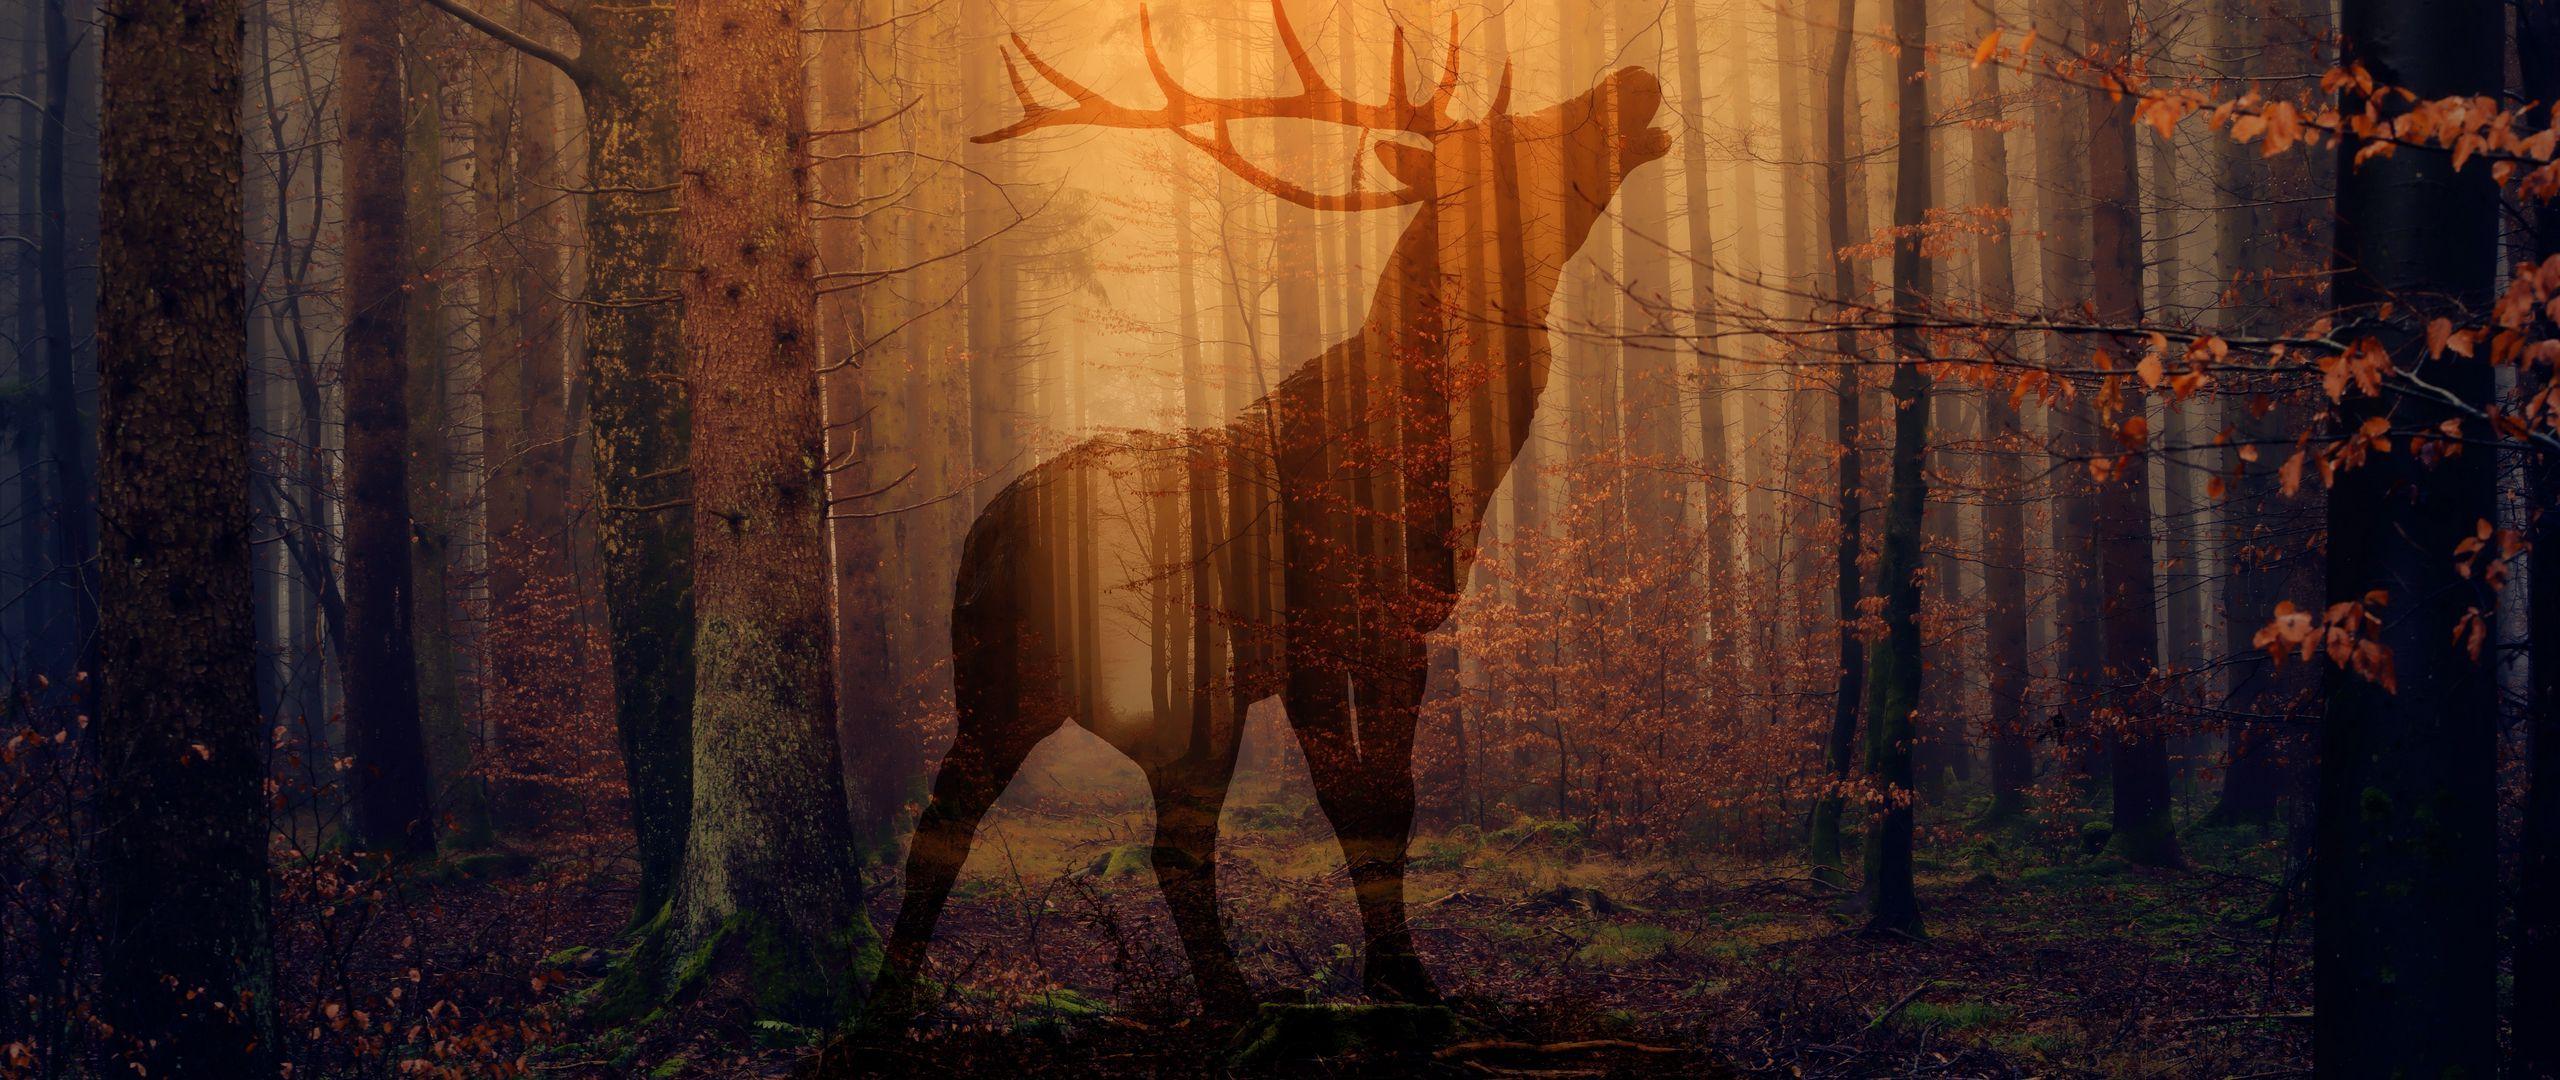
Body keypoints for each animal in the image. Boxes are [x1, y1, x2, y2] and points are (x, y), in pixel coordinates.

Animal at [874, 0, 1669, 1020]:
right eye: (1522, 139)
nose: (1636, 80)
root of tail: (984, 535)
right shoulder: (1325, 629)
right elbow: (1362, 801)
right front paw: (1402, 981)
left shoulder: (1404, 628)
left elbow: (1392, 802)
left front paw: (1397, 974)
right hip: (1105, 681)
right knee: (1065, 831)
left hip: (1058, 688)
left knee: (1056, 830)